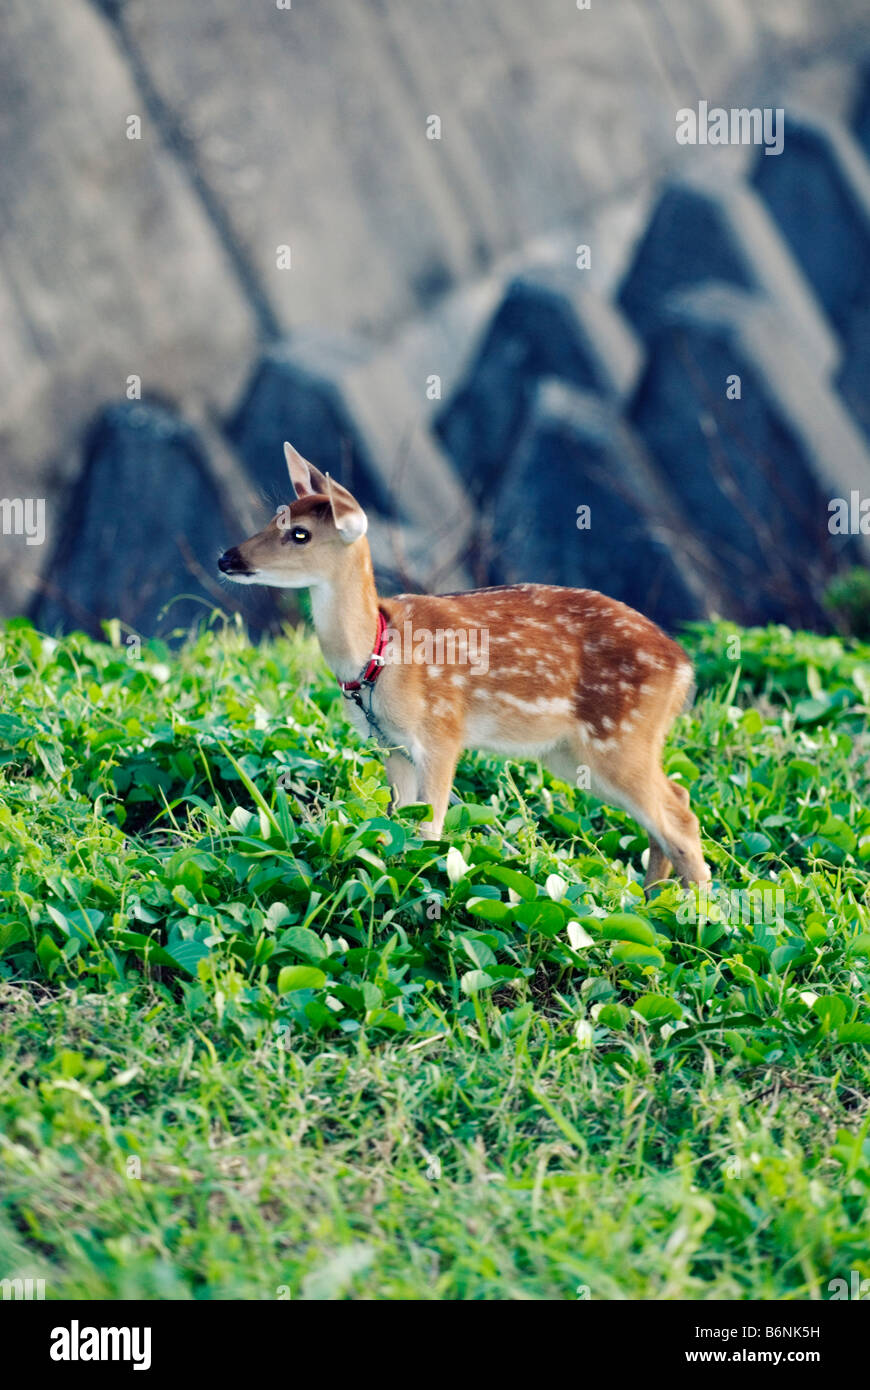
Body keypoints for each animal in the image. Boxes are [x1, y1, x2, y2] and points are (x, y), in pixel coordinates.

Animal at [218, 442, 711, 889]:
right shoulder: (390, 746)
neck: (378, 658)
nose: (227, 558)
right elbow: (397, 824)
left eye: (299, 533)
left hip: (621, 738)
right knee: (671, 807)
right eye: (272, 519)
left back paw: (695, 914)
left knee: (681, 817)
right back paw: (653, 902)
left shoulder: (442, 732)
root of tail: (684, 667)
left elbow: (429, 830)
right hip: (571, 754)